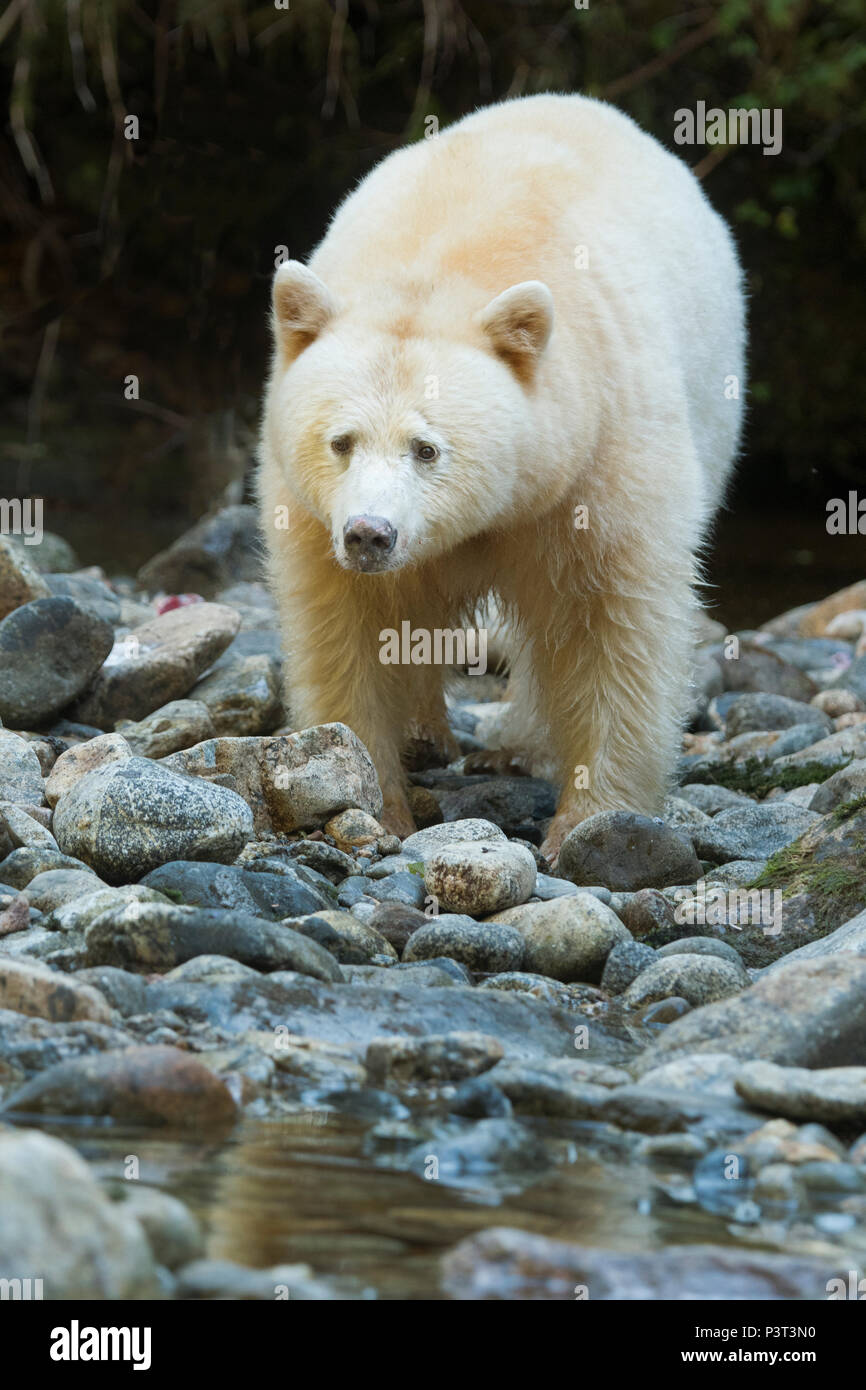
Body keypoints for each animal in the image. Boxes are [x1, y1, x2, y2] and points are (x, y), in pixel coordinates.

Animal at [258, 93, 746, 861]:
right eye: (340, 441)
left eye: (427, 448)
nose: (370, 534)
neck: (447, 263)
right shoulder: (311, 515)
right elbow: (348, 629)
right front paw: (374, 803)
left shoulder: (598, 454)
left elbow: (611, 626)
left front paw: (591, 822)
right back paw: (428, 734)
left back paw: (515, 744)